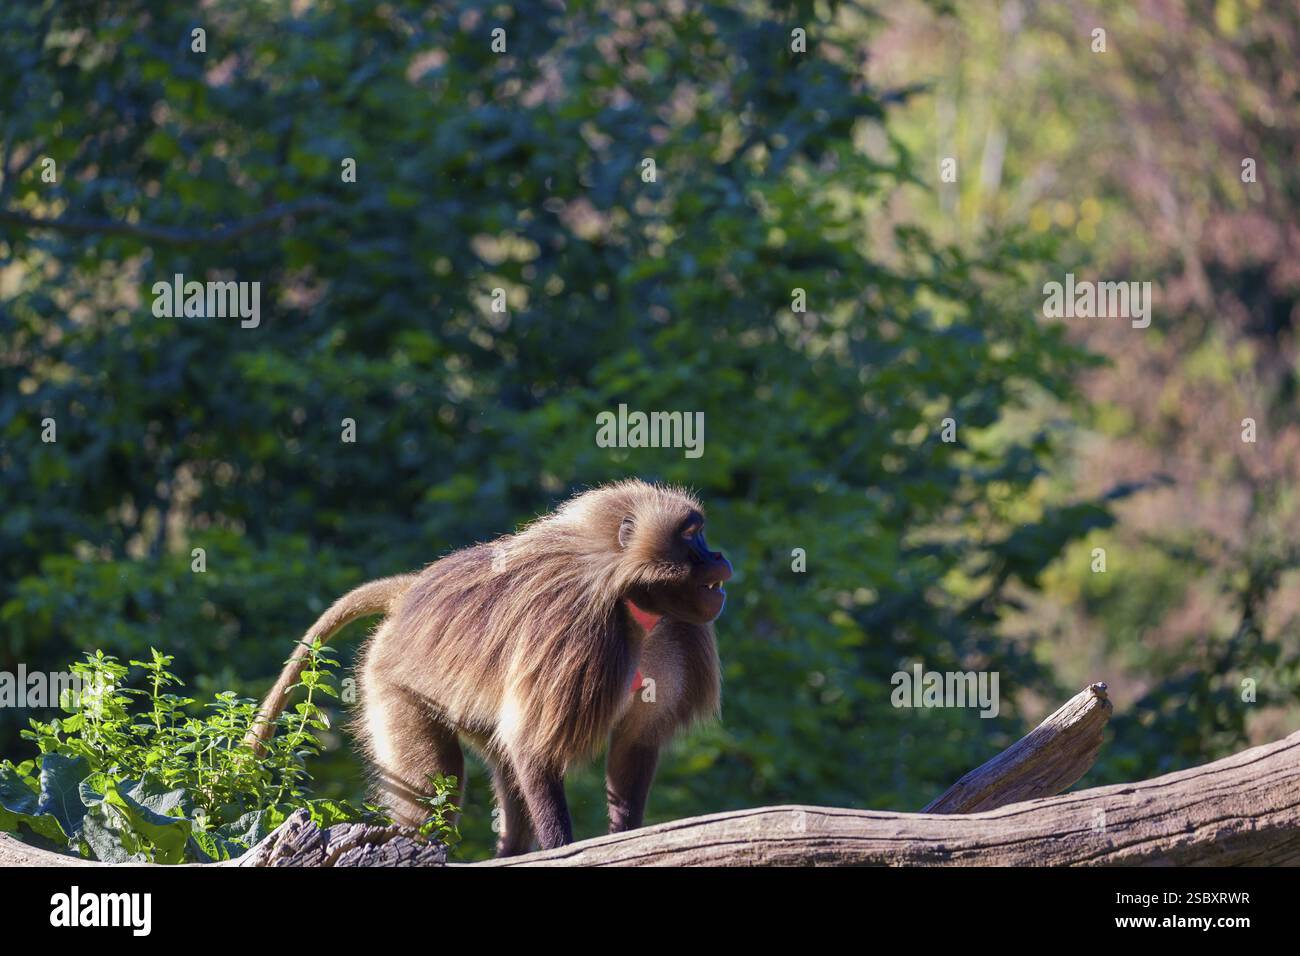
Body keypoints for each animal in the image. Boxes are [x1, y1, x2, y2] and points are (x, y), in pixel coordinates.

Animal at [244, 480, 732, 855]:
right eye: (693, 535)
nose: (720, 557)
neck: (631, 601)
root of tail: (407, 595)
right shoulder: (575, 634)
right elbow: (534, 746)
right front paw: (561, 848)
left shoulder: (673, 636)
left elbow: (633, 744)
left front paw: (623, 838)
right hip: (391, 684)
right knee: (433, 789)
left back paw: (509, 851)